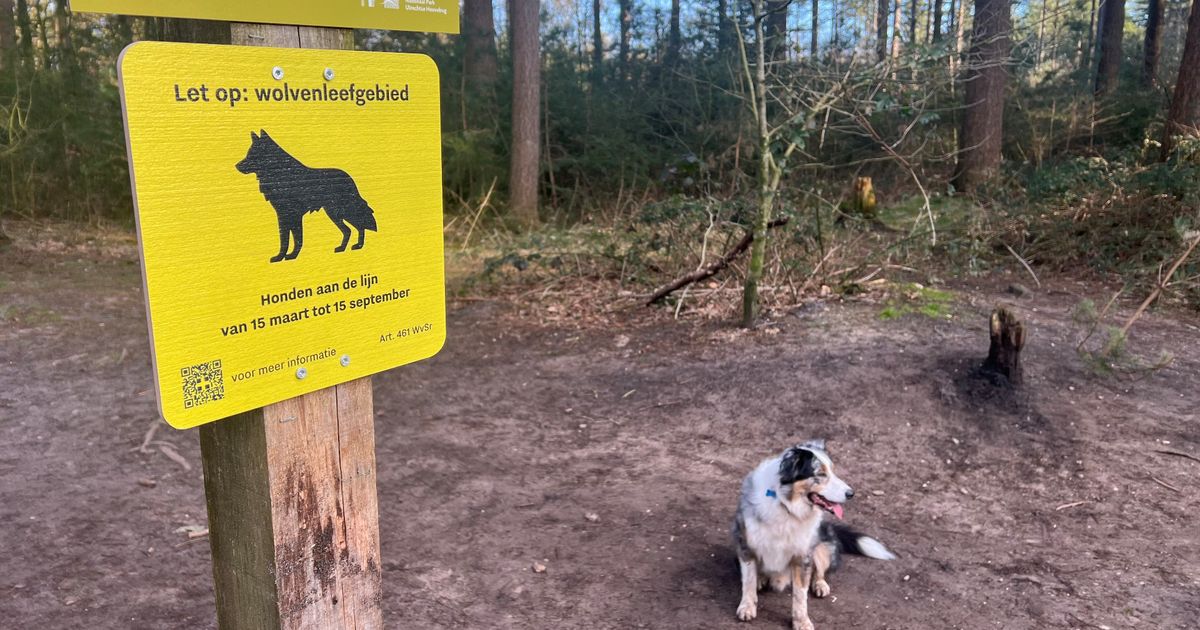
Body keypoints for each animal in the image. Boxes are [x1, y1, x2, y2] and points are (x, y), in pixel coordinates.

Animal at [236, 129, 377, 263]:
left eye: (252, 155)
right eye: (248, 153)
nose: (236, 166)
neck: (281, 173)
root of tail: (349, 178)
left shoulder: (294, 215)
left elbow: (295, 238)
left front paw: (291, 255)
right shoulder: (284, 215)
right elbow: (286, 239)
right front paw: (281, 256)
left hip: (341, 211)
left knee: (358, 225)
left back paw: (357, 246)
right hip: (334, 212)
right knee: (350, 229)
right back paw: (345, 247)